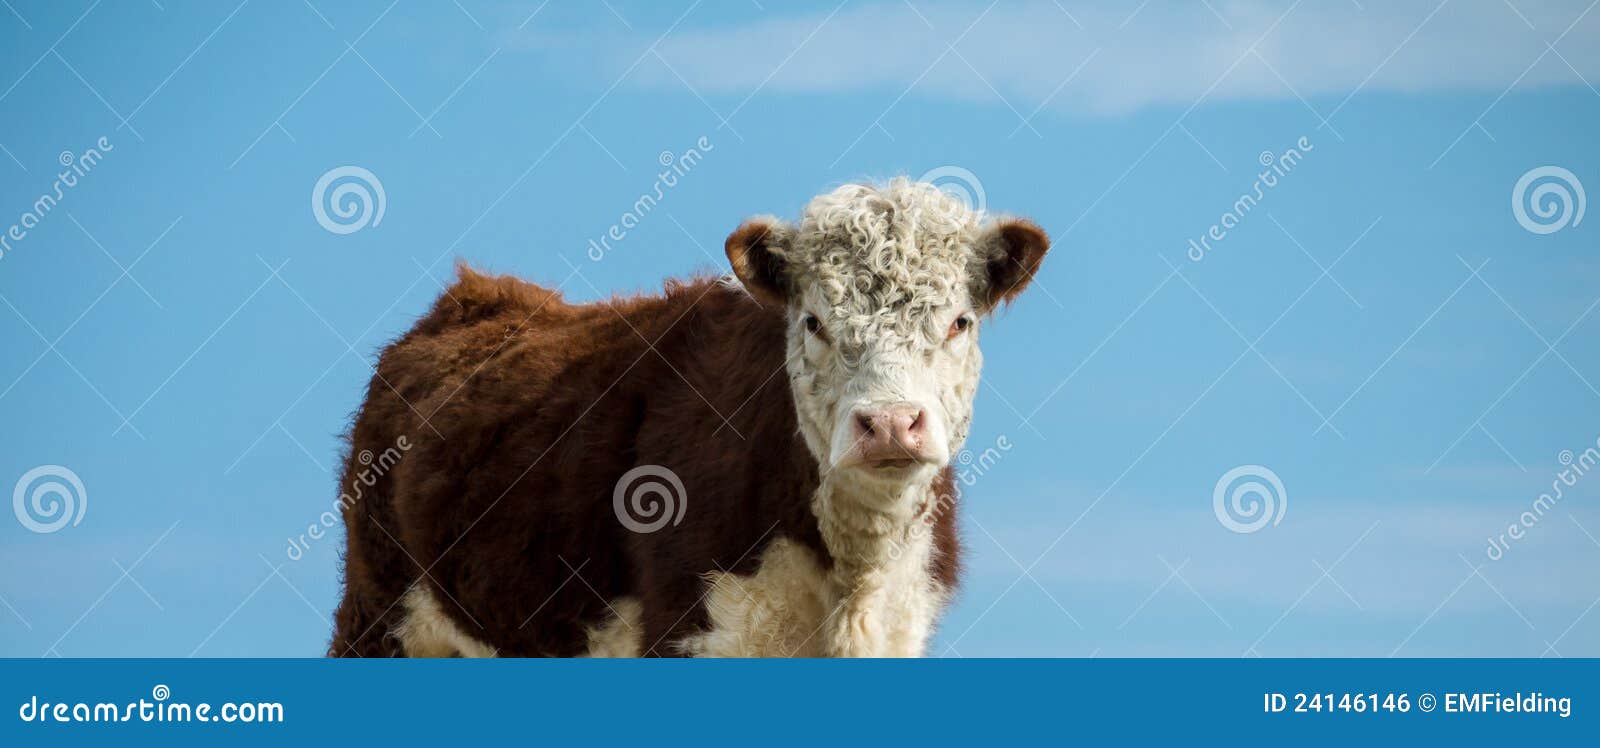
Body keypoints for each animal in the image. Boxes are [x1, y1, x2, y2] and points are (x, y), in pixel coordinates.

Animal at [328, 178, 1050, 657]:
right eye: (813, 321)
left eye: (960, 322)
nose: (891, 424)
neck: (851, 573)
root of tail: (476, 296)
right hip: (376, 616)